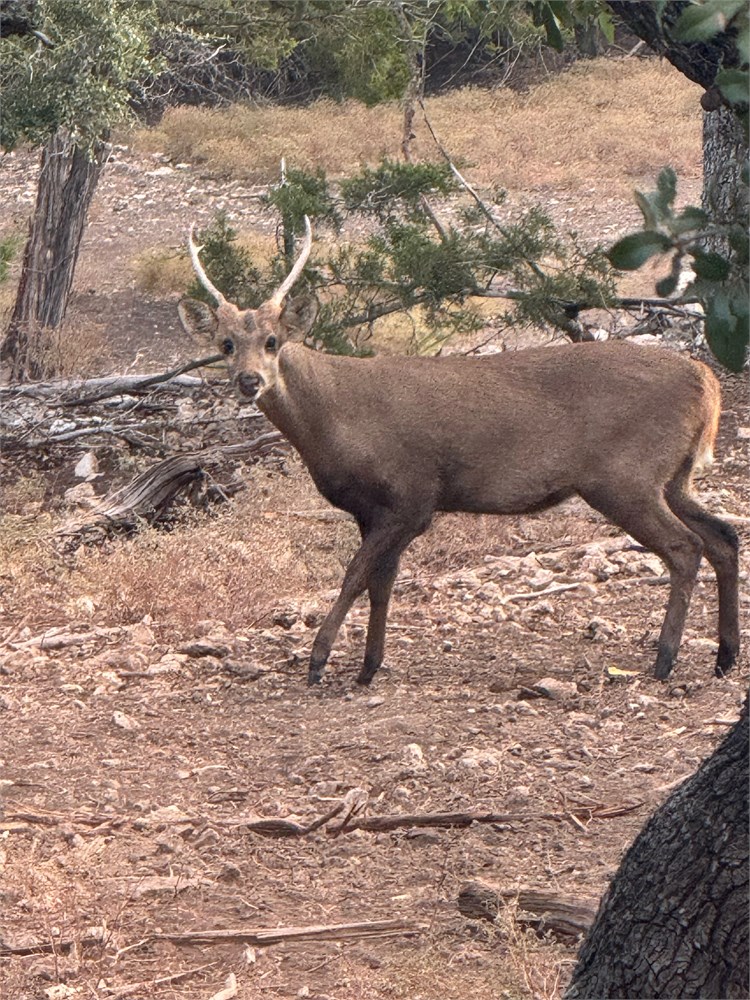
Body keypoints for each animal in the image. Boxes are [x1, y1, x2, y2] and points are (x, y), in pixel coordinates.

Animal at [179, 217, 740, 687]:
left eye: (273, 341)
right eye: (226, 344)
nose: (249, 381)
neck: (335, 423)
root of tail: (707, 382)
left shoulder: (412, 495)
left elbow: (355, 576)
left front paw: (319, 662)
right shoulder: (374, 510)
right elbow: (381, 583)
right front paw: (368, 667)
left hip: (625, 475)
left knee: (685, 546)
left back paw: (664, 660)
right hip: (673, 476)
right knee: (723, 536)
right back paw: (724, 656)